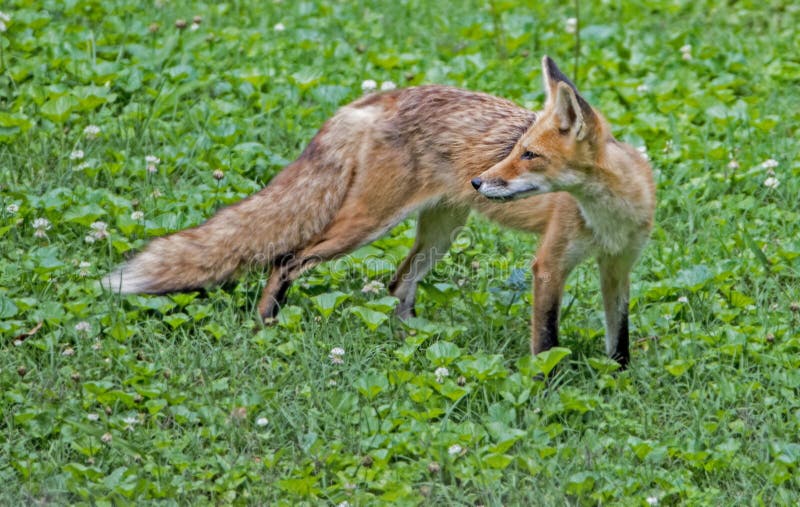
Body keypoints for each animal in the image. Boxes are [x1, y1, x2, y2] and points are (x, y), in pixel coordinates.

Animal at [104, 55, 656, 368]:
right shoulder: (549, 266)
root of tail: (375, 98)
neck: (608, 219)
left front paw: (619, 382)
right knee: (286, 259)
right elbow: (546, 339)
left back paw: (413, 340)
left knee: (397, 284)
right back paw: (266, 325)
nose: (480, 181)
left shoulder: (618, 269)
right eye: (517, 148)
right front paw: (547, 387)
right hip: (368, 224)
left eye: (530, 155)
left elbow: (620, 338)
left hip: (439, 232)